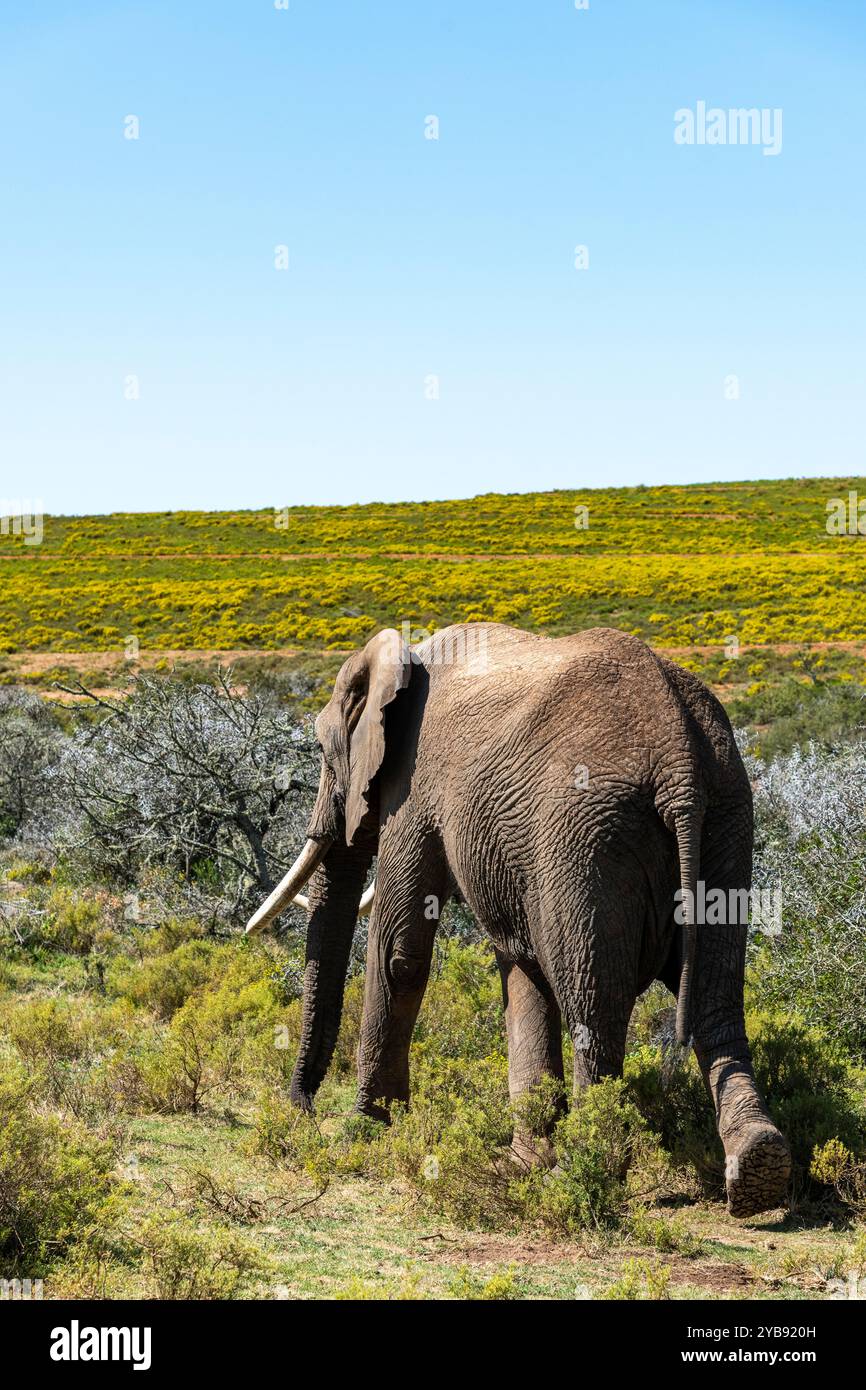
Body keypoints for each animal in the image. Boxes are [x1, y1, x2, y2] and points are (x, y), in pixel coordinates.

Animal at [247, 623, 791, 1218]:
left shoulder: (413, 786)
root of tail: (680, 763)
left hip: (588, 837)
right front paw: (525, 1161)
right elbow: (520, 967)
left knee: (593, 1003)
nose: (301, 1110)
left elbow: (400, 952)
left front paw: (365, 1130)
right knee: (717, 998)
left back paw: (586, 1170)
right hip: (726, 817)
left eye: (324, 753)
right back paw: (758, 1168)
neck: (408, 656)